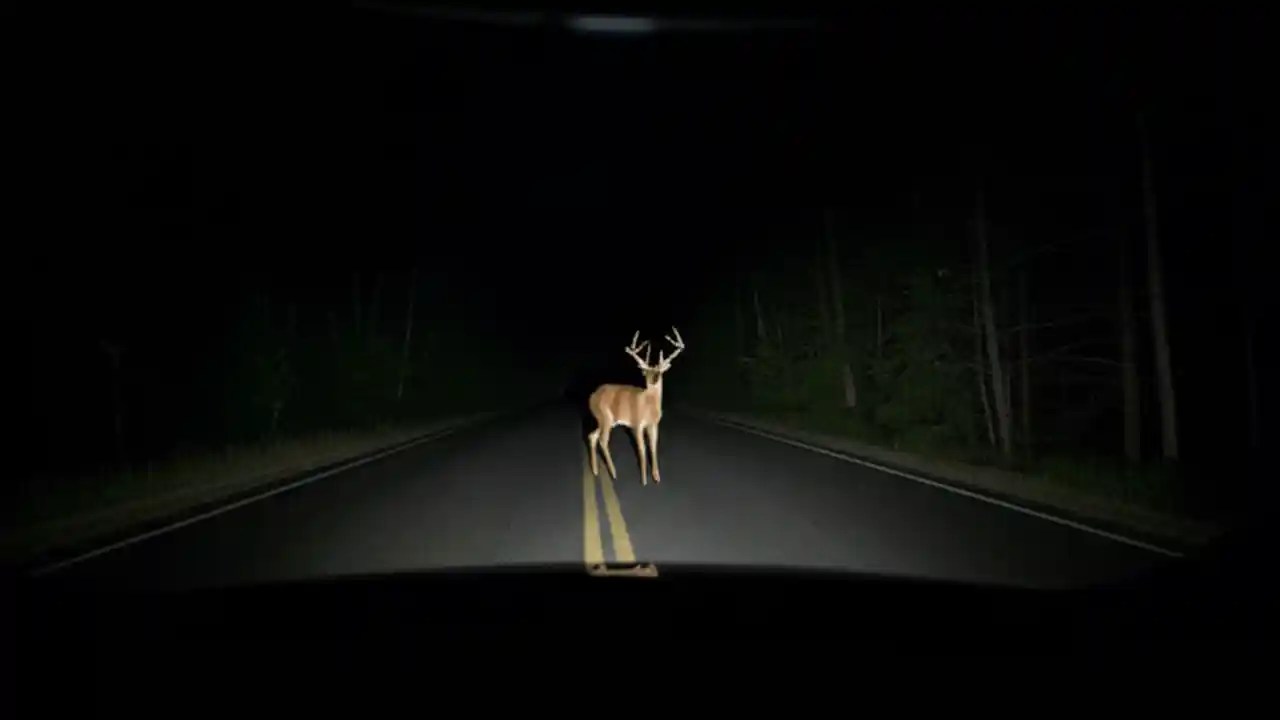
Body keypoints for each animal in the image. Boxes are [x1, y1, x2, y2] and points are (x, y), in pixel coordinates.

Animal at [587, 327, 685, 486]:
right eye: (645, 372)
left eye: (659, 372)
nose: (654, 379)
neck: (648, 404)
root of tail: (592, 397)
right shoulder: (637, 424)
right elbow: (642, 449)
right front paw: (644, 481)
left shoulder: (654, 424)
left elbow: (653, 447)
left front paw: (657, 478)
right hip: (605, 417)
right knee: (602, 440)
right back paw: (614, 473)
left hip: (605, 421)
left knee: (592, 436)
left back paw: (595, 471)